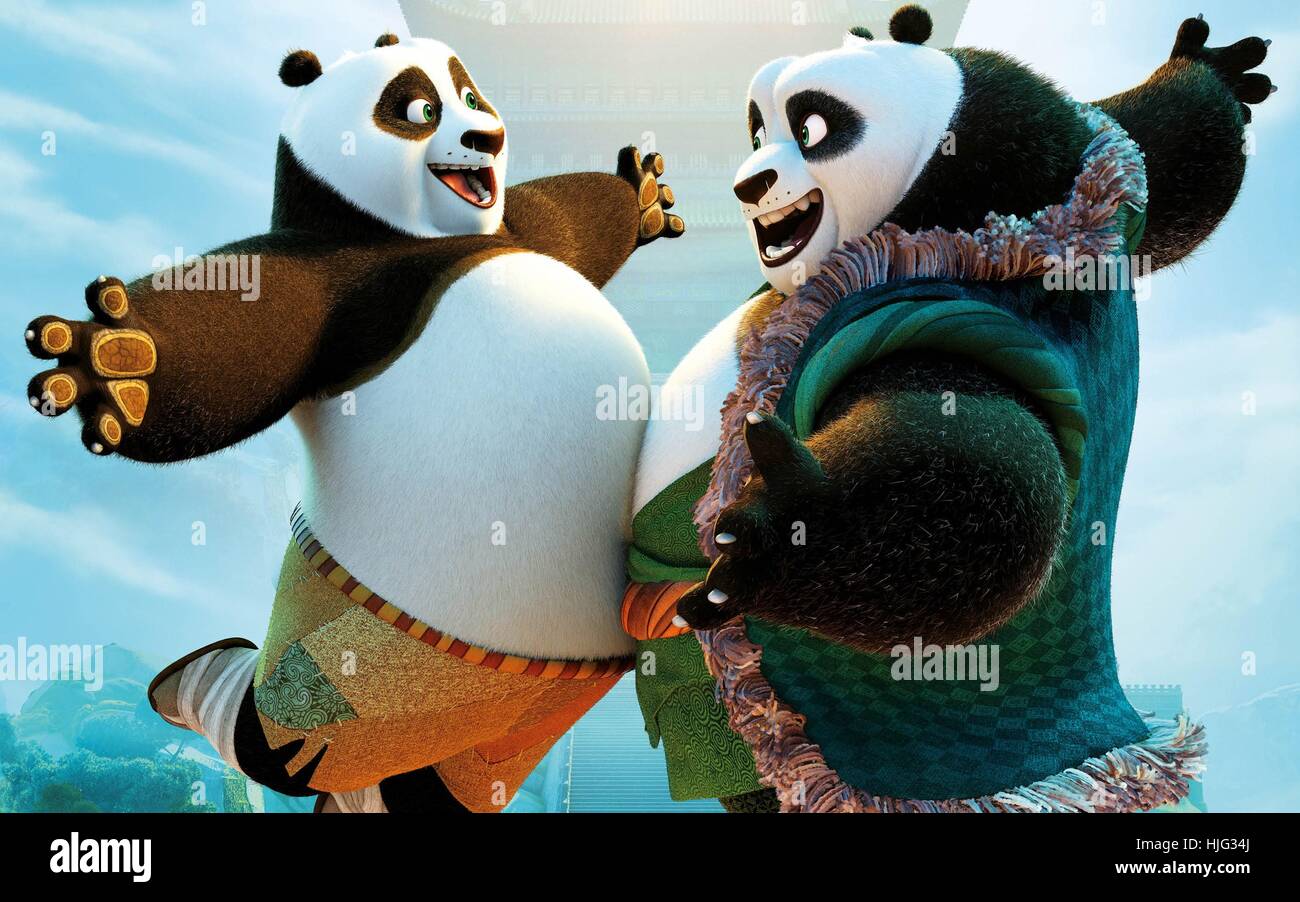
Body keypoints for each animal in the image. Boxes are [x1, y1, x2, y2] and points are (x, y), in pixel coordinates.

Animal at [24, 32, 683, 813]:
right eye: (418, 109)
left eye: (471, 96)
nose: (487, 137)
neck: (412, 238)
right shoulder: (336, 287)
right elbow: (241, 325)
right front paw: (119, 364)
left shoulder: (519, 230)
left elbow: (568, 218)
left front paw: (643, 195)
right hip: (362, 641)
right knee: (287, 730)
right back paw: (198, 685)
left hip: (528, 707)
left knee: (445, 784)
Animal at [624, 6, 1273, 812]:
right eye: (755, 130)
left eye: (813, 127)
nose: (751, 184)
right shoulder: (1094, 172)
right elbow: (1167, 145)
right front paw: (1217, 69)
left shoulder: (959, 305)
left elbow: (980, 478)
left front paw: (790, 524)